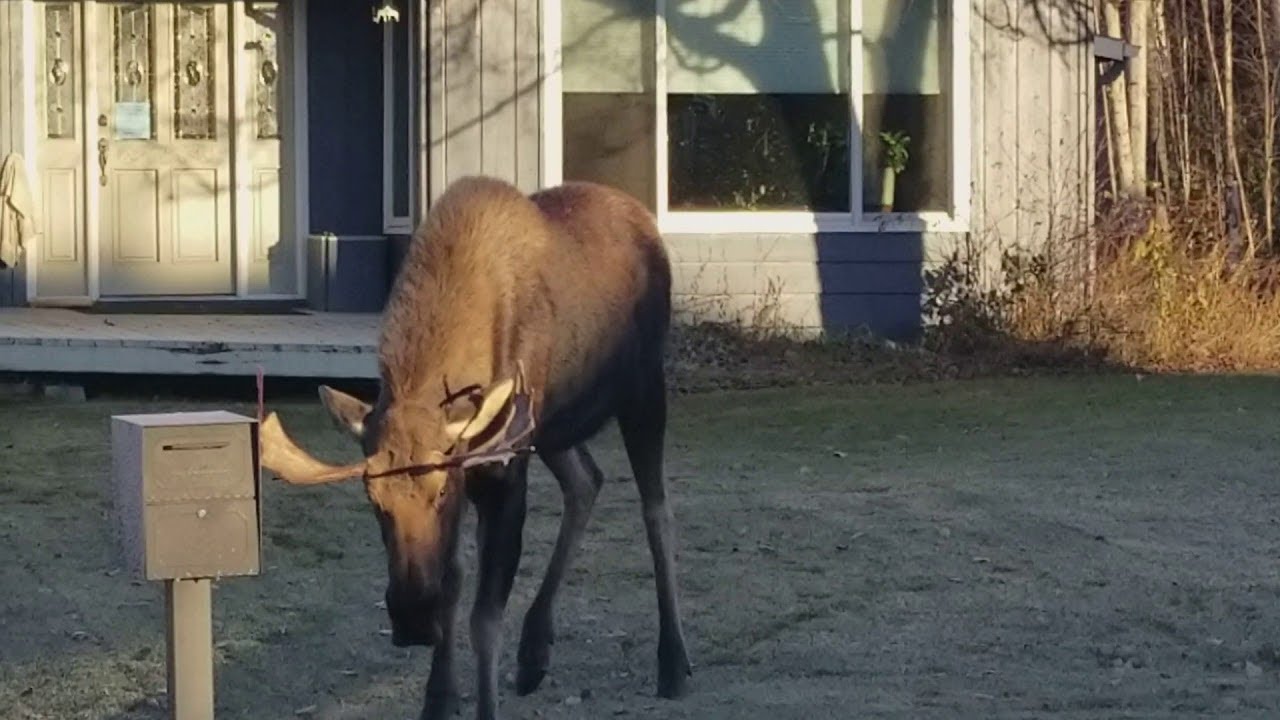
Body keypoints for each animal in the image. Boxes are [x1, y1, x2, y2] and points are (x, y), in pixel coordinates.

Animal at [256, 175, 693, 720]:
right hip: (552, 427)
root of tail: (642, 216)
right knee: (586, 481)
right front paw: (438, 697)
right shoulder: (487, 461)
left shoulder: (500, 476)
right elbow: (453, 583)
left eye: (440, 493)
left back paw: (673, 660)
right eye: (373, 500)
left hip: (643, 388)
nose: (410, 619)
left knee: (657, 508)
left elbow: (484, 620)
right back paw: (535, 650)